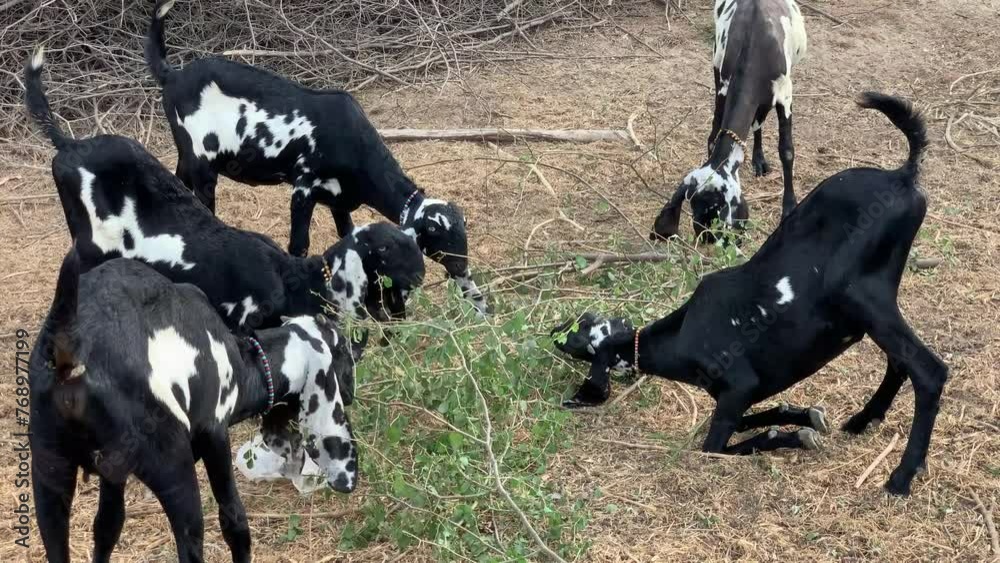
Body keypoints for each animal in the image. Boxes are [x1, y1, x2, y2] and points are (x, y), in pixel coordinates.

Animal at [30, 251, 358, 563]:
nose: (351, 393)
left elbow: (108, 526)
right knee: (191, 540)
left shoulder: (113, 473)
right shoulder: (215, 435)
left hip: (49, 467)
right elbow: (234, 520)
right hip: (172, 466)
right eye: (342, 351)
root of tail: (70, 351)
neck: (244, 364)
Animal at [145, 0, 488, 316]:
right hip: (202, 162)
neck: (356, 145)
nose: (464, 273)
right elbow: (299, 244)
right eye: (436, 233)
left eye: (464, 230)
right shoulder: (304, 187)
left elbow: (348, 236)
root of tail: (172, 76)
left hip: (186, 156)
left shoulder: (340, 200)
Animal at [556, 93, 947, 496]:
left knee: (929, 371)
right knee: (900, 361)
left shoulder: (737, 389)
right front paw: (801, 415)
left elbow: (717, 446)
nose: (556, 334)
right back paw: (862, 420)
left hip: (861, 296)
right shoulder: (740, 397)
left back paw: (901, 476)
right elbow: (752, 420)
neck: (682, 338)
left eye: (582, 339)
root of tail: (901, 176)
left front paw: (792, 435)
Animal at [652, 0, 807, 241]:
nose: (707, 238)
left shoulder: (785, 92)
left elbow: (787, 150)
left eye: (720, 210)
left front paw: (789, 208)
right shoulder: (723, 81)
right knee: (756, 120)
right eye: (695, 211)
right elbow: (714, 132)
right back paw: (758, 158)